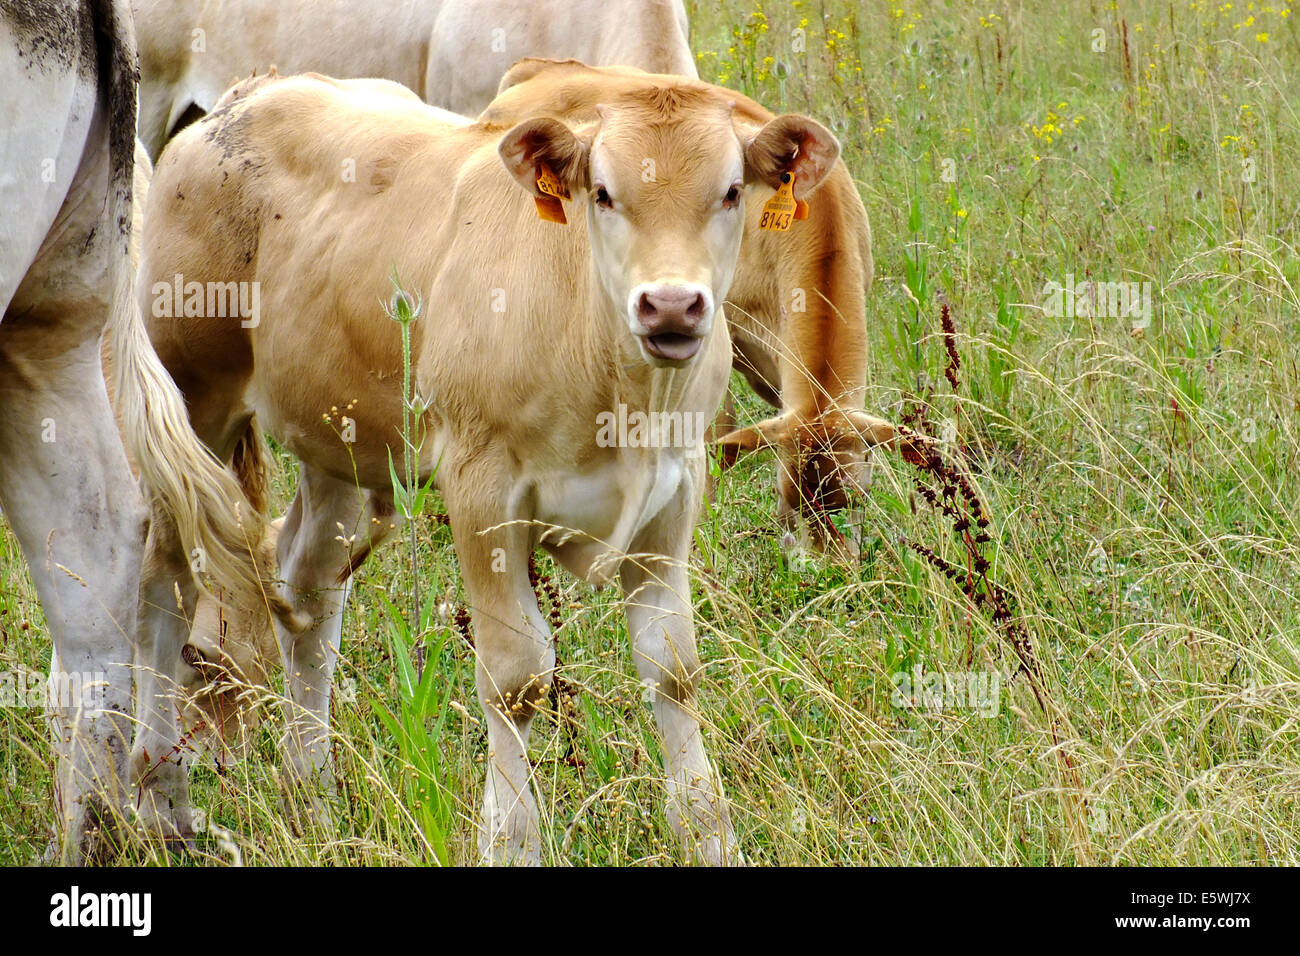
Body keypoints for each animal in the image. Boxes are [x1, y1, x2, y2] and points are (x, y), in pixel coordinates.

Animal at [137, 66, 843, 863]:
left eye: (729, 192)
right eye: (603, 192)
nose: (669, 305)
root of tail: (247, 99)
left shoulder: (674, 495)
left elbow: (673, 668)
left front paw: (706, 832)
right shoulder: (483, 491)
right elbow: (516, 677)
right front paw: (511, 837)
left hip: (335, 445)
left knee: (310, 589)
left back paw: (311, 792)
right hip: (192, 404)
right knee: (165, 583)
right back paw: (157, 794)